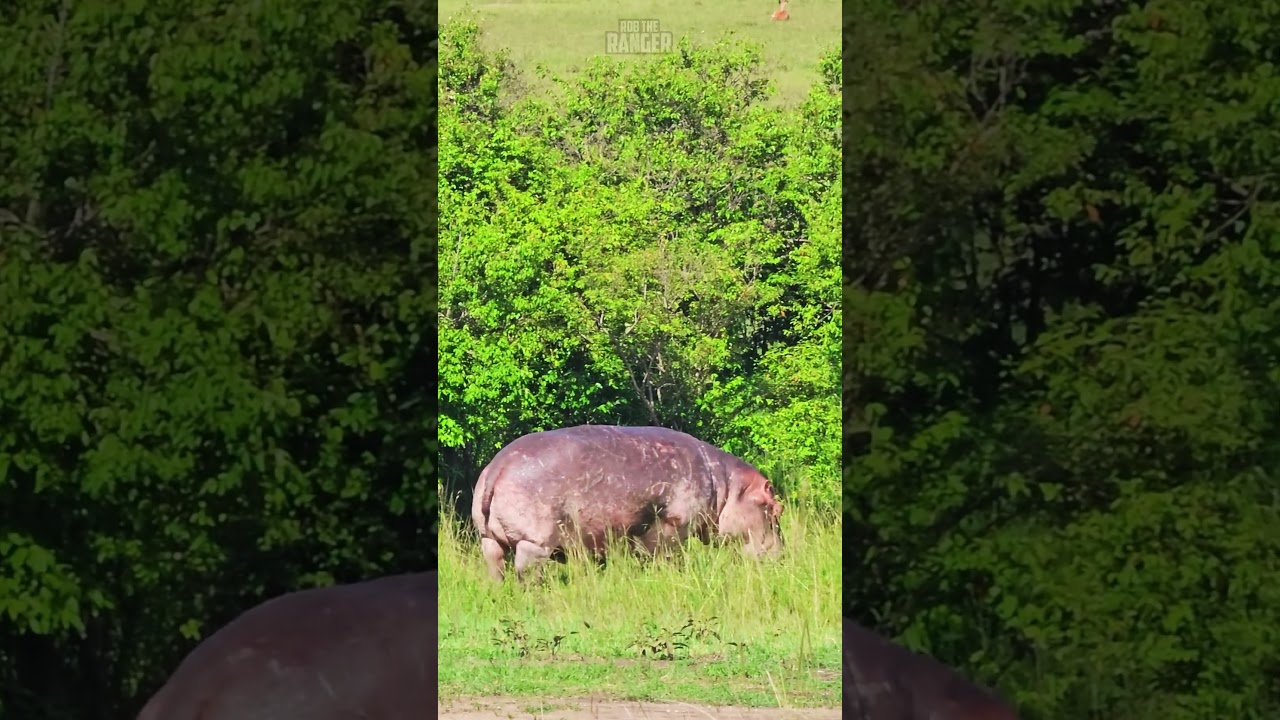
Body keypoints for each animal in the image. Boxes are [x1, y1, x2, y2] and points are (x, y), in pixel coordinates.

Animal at [471, 425, 784, 582]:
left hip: (489, 539)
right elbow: (664, 557)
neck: (727, 487)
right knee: (526, 572)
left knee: (495, 567)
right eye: (774, 507)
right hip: (534, 543)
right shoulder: (670, 528)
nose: (781, 555)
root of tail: (497, 468)